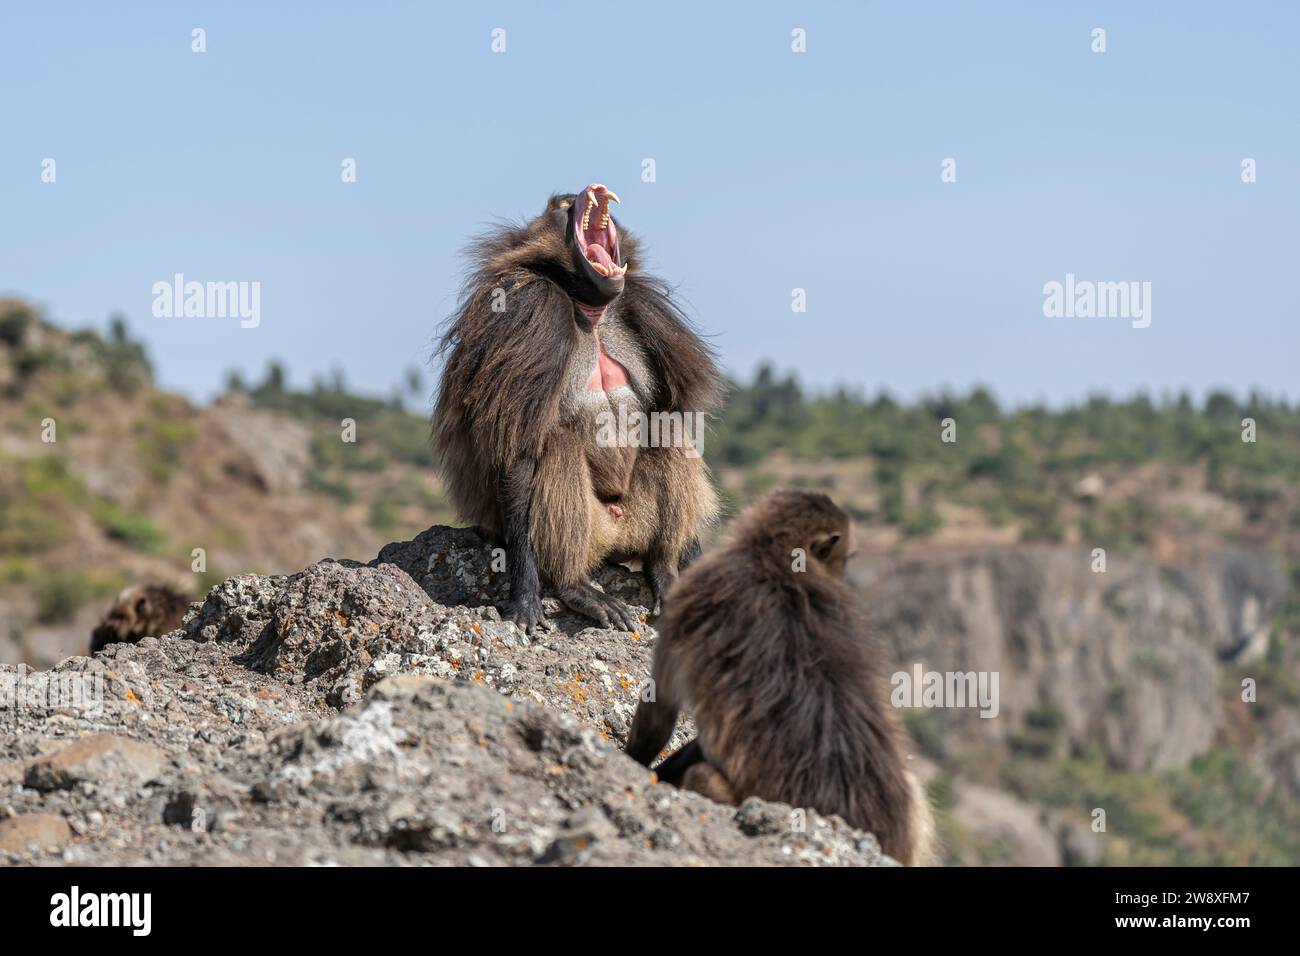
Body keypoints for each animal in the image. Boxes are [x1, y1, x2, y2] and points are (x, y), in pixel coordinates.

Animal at [432, 184, 724, 633]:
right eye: (562, 206)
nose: (584, 191)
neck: (588, 307)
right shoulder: (530, 313)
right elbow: (519, 451)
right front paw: (525, 597)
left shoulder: (643, 306)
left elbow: (668, 413)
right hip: (595, 533)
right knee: (558, 444)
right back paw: (577, 588)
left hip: (634, 520)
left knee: (666, 427)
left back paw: (663, 568)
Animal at [625, 488, 936, 866]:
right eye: (845, 558)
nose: (845, 578)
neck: (775, 562)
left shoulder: (691, 588)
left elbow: (659, 710)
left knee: (701, 774)